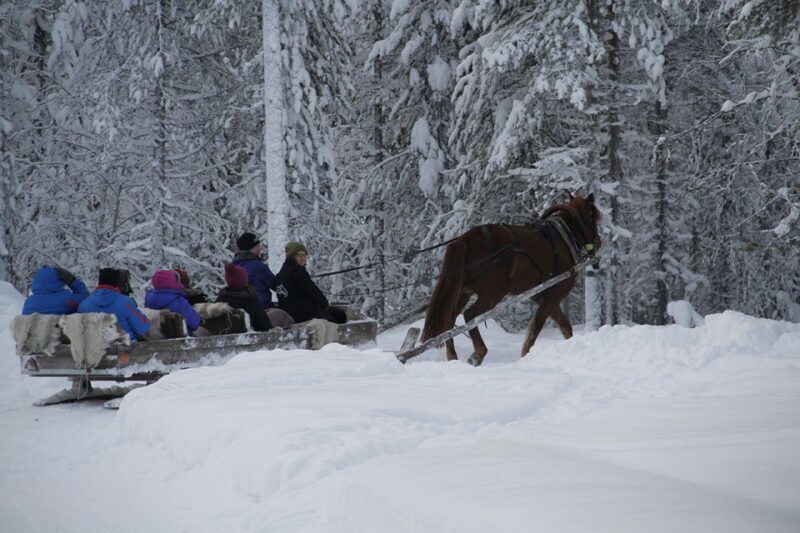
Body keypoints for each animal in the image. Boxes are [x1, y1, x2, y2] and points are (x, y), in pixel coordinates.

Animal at [420, 193, 602, 366]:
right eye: (592, 218)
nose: (598, 242)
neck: (563, 237)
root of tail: (464, 239)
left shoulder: (543, 295)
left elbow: (564, 325)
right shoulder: (555, 292)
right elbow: (538, 324)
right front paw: (525, 353)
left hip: (463, 291)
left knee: (449, 321)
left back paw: (453, 356)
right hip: (493, 293)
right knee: (470, 315)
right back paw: (478, 353)